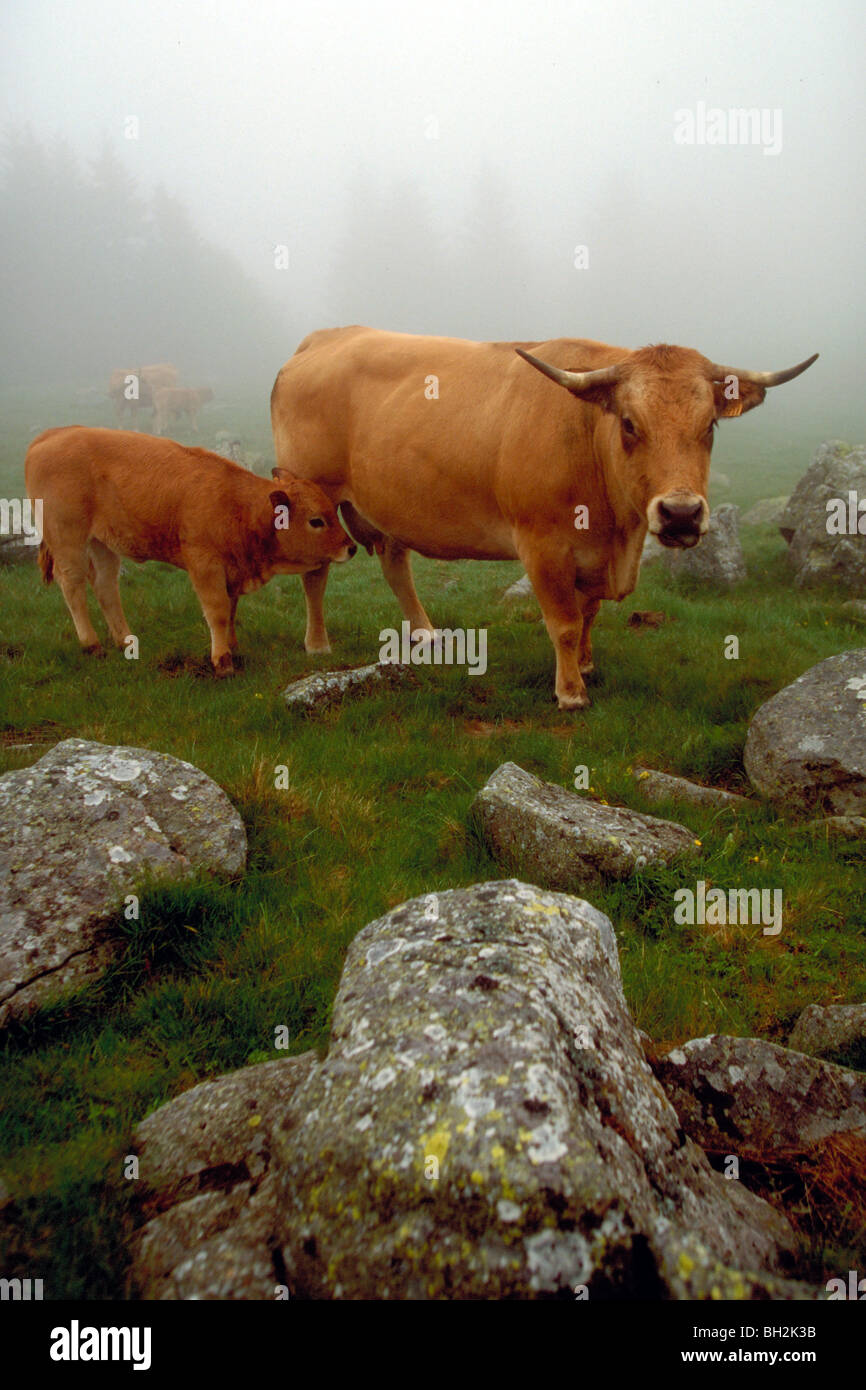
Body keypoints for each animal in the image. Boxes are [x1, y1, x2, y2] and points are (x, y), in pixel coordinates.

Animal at [25, 426, 356, 673]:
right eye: (316, 520)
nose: (350, 547)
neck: (238, 505)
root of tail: (48, 437)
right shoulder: (205, 566)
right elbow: (218, 612)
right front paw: (222, 660)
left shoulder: (231, 571)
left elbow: (231, 609)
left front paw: (233, 646)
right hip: (68, 540)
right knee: (73, 586)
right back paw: (91, 644)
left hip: (103, 544)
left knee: (105, 587)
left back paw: (125, 641)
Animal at [270, 327, 818, 708]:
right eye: (629, 424)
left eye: (709, 427)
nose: (681, 513)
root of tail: (324, 338)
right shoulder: (542, 545)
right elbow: (565, 622)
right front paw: (571, 691)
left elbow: (590, 613)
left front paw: (589, 665)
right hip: (312, 494)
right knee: (316, 575)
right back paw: (318, 644)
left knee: (394, 564)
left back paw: (426, 634)